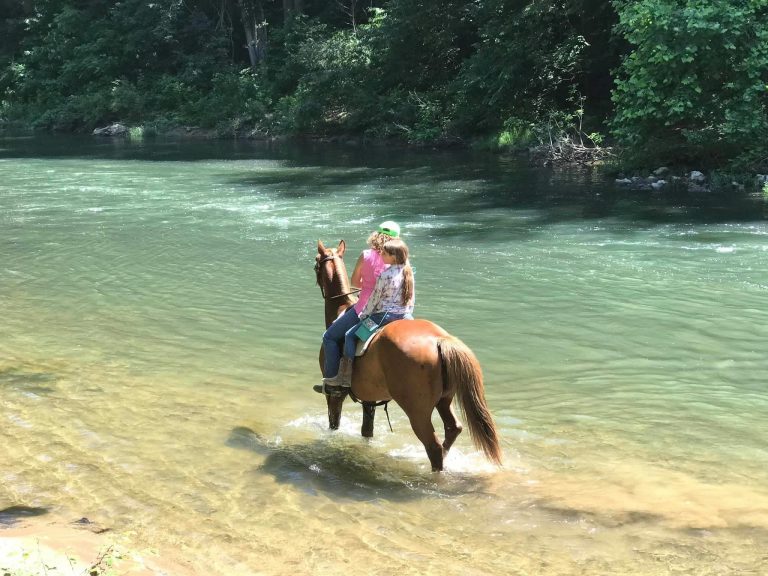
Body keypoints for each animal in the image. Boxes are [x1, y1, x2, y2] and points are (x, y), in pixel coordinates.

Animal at [314, 240, 502, 471]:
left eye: (316, 263)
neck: (340, 309)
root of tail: (440, 339)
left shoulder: (334, 395)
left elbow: (334, 423)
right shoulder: (369, 399)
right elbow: (367, 431)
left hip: (417, 411)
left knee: (433, 446)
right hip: (444, 400)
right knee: (453, 429)